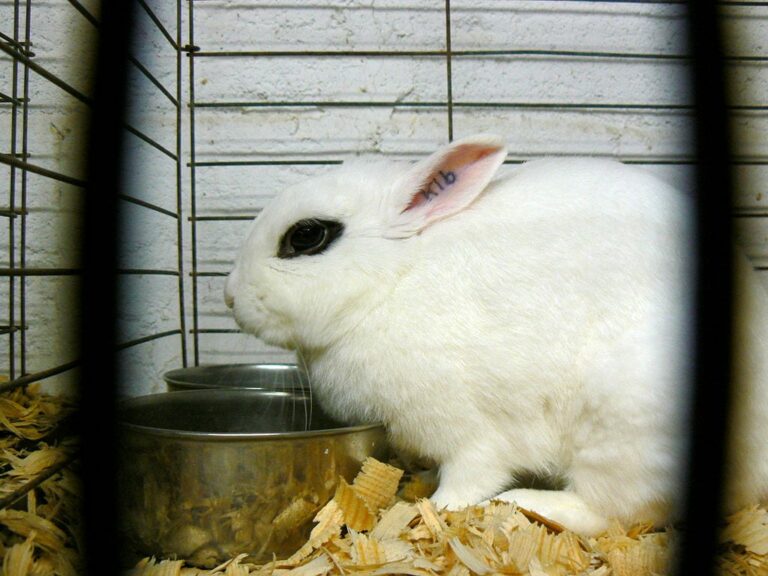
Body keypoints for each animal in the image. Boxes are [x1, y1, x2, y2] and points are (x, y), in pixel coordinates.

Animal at [224, 134, 768, 535]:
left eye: (306, 236)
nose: (229, 299)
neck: (393, 281)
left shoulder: (471, 429)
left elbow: (471, 474)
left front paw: (440, 509)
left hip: (627, 430)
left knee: (613, 511)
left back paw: (529, 504)